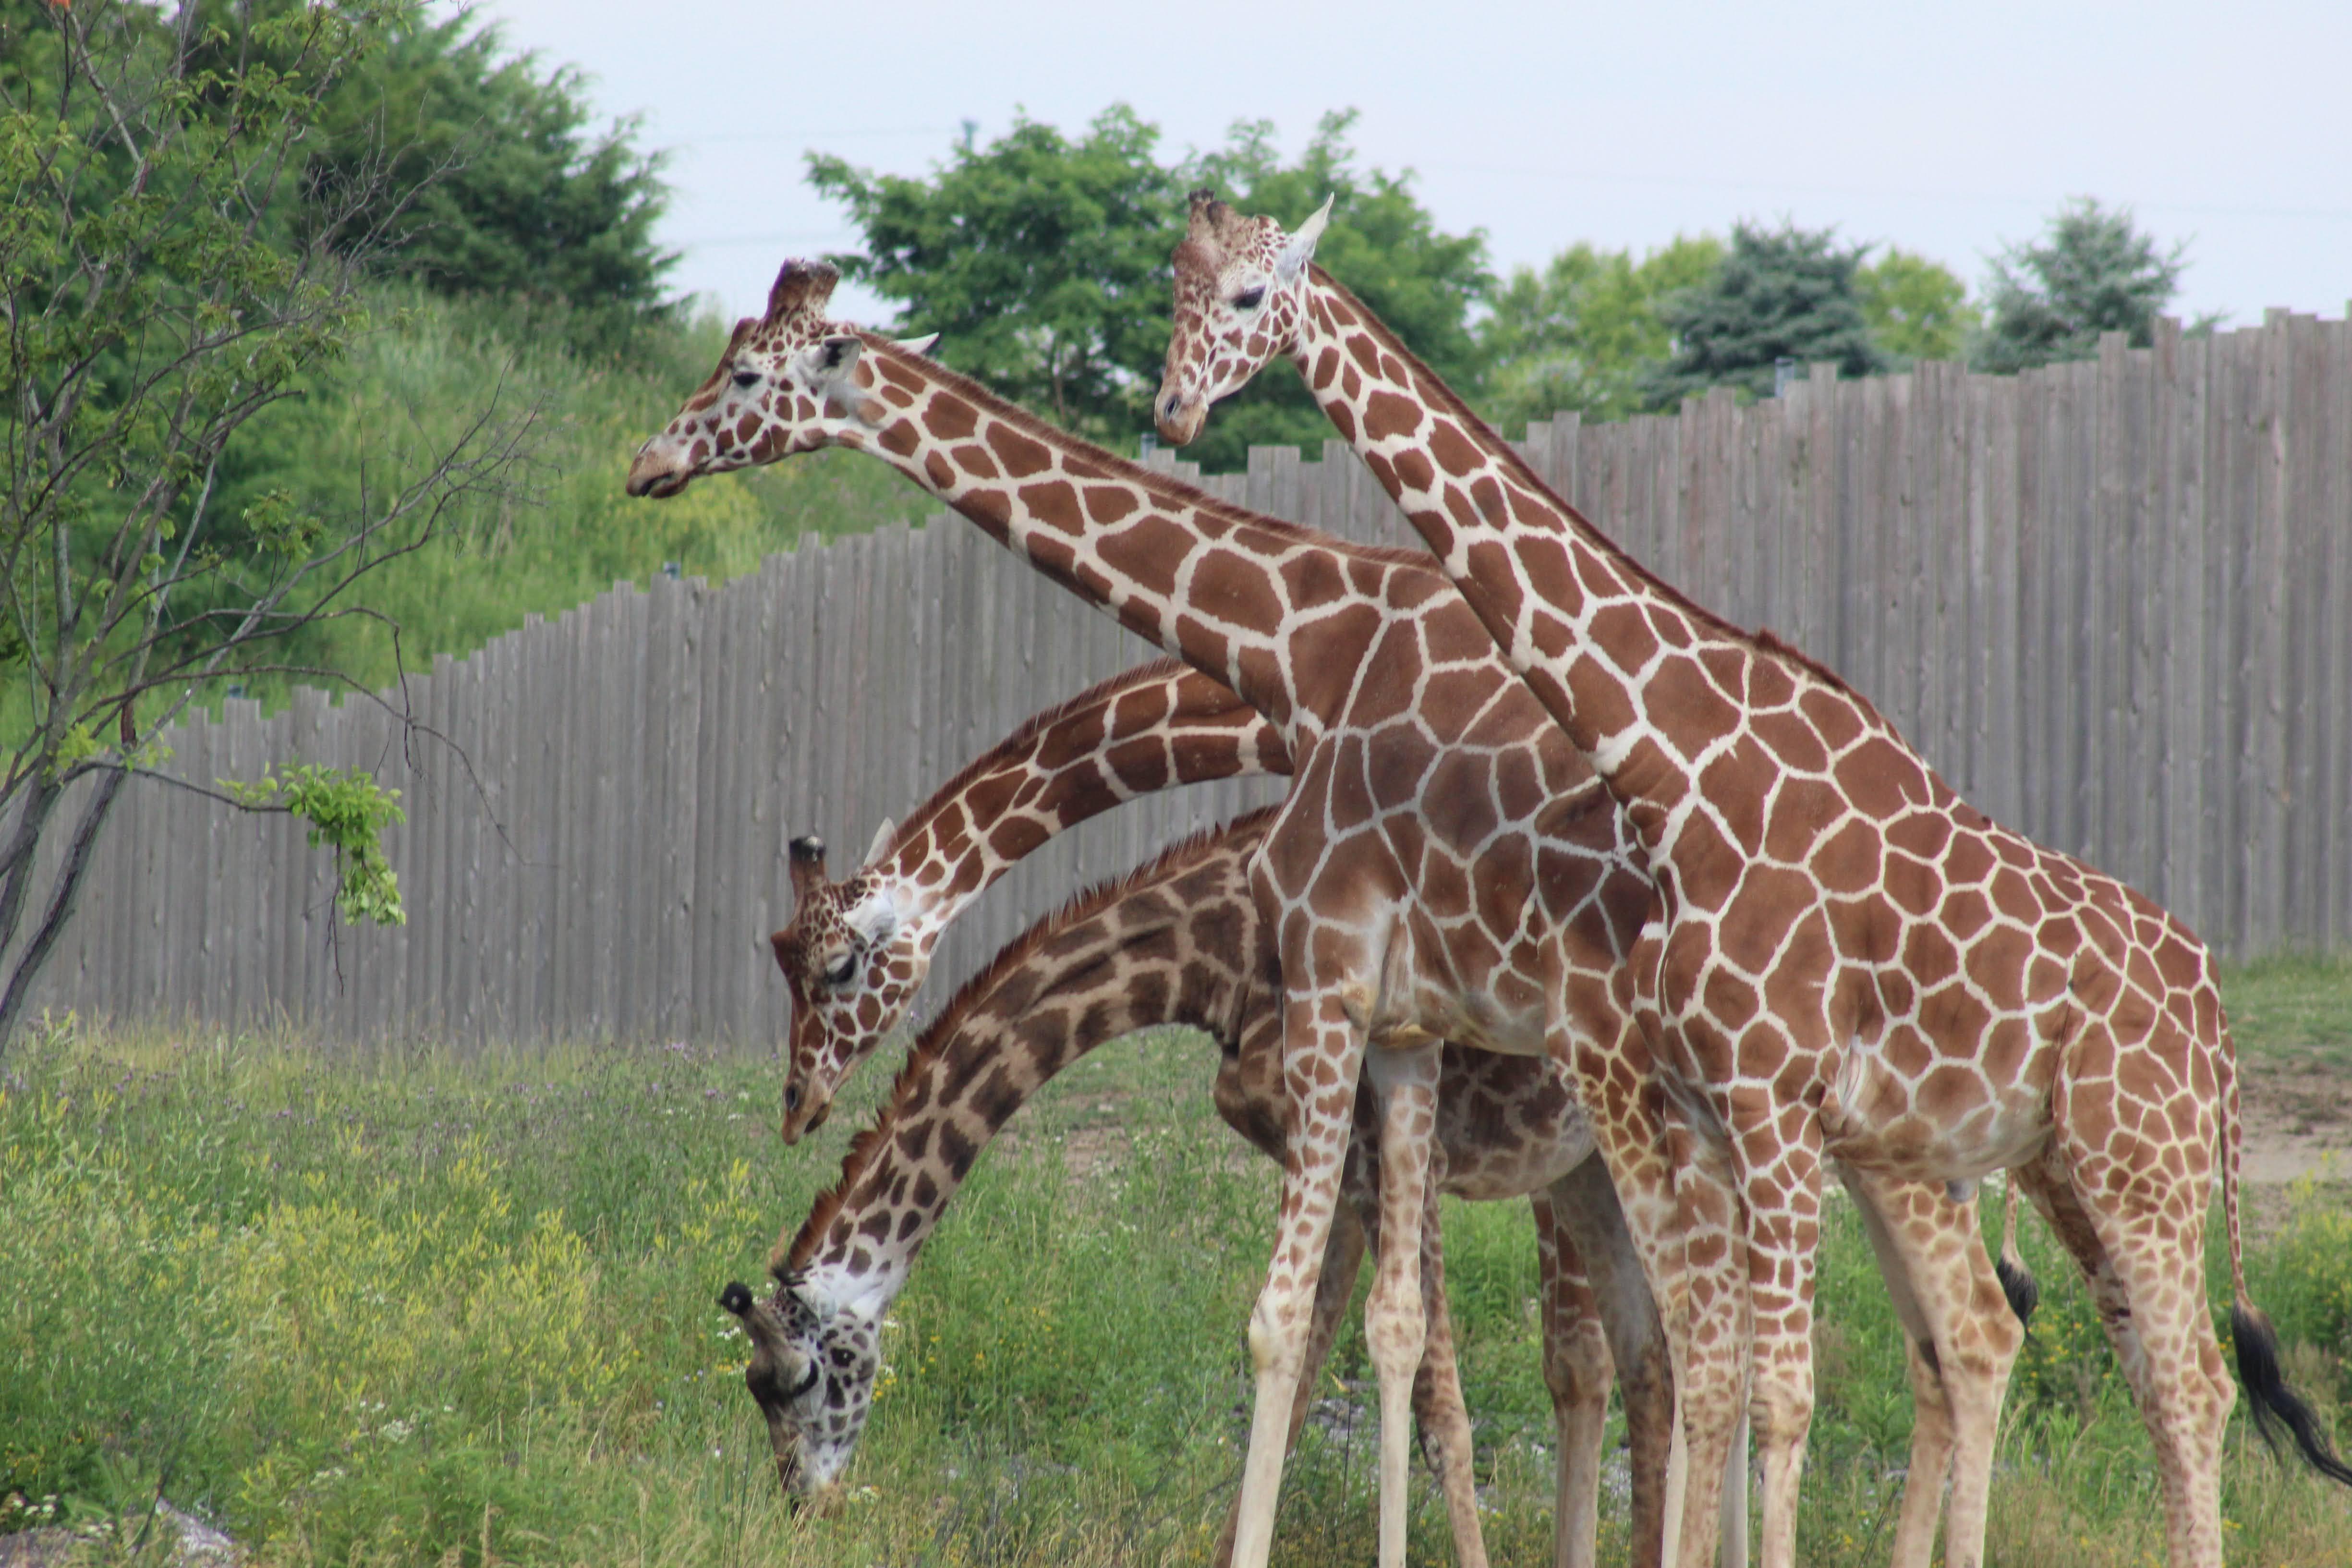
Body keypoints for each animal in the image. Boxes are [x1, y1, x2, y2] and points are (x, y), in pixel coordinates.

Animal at [727, 805, 1699, 1568]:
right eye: (753, 1388)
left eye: (803, 1379)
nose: (805, 1511)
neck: (1213, 953)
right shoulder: (1334, 1151)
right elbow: (1306, 1362)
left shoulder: (1377, 1137)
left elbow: (1434, 1399)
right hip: (1589, 1166)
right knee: (1649, 1361)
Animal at [1154, 192, 2352, 1568]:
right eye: (1172, 285)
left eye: (1249, 298)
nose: (1171, 410)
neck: (1672, 772)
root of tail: (2215, 1013)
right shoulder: (1709, 1102)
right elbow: (1715, 1369)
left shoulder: (1774, 1101)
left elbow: (1779, 1393)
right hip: (2074, 1168)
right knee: (2145, 1376)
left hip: (2136, 1166)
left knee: (2189, 1380)